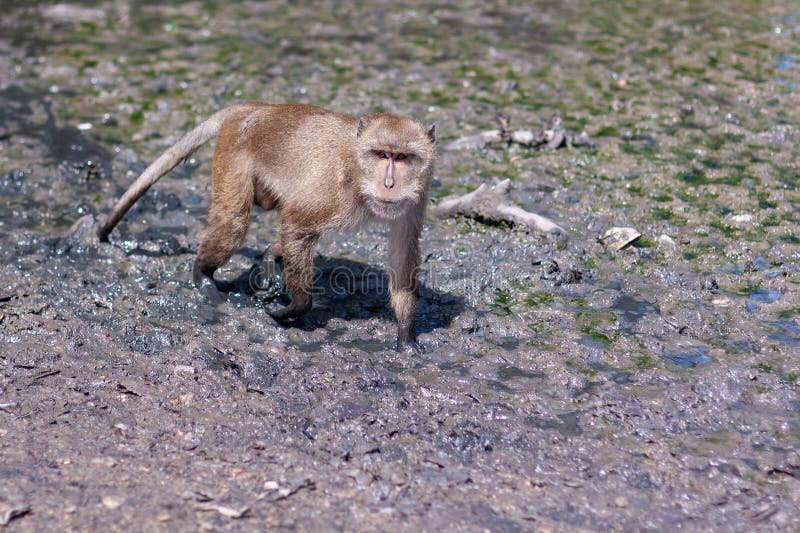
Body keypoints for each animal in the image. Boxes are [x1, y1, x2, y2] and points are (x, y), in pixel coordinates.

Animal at [97, 103, 436, 351]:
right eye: (381, 154)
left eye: (403, 157)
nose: (389, 183)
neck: (358, 171)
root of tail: (253, 106)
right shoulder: (333, 189)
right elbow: (297, 224)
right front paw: (296, 306)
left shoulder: (416, 199)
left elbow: (402, 258)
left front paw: (406, 335)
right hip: (232, 148)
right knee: (234, 221)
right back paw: (202, 275)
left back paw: (269, 257)